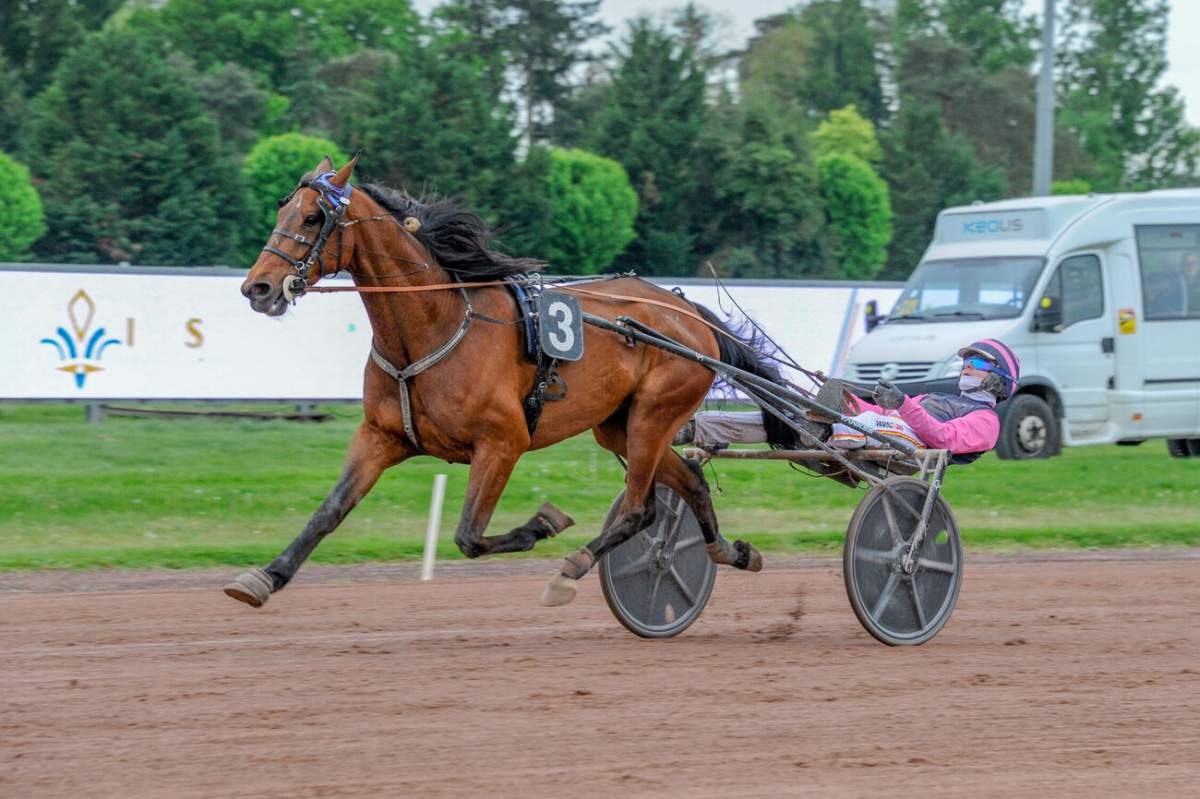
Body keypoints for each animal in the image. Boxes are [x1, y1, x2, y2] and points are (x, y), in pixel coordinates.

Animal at [225, 154, 797, 609]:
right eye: (281, 212)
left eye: (314, 216)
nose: (258, 287)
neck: (433, 326)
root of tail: (689, 312)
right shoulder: (380, 437)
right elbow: (328, 513)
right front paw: (265, 576)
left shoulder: (503, 442)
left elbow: (468, 536)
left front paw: (544, 522)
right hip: (620, 425)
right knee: (689, 482)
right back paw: (730, 550)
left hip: (655, 414)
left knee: (640, 507)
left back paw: (573, 567)